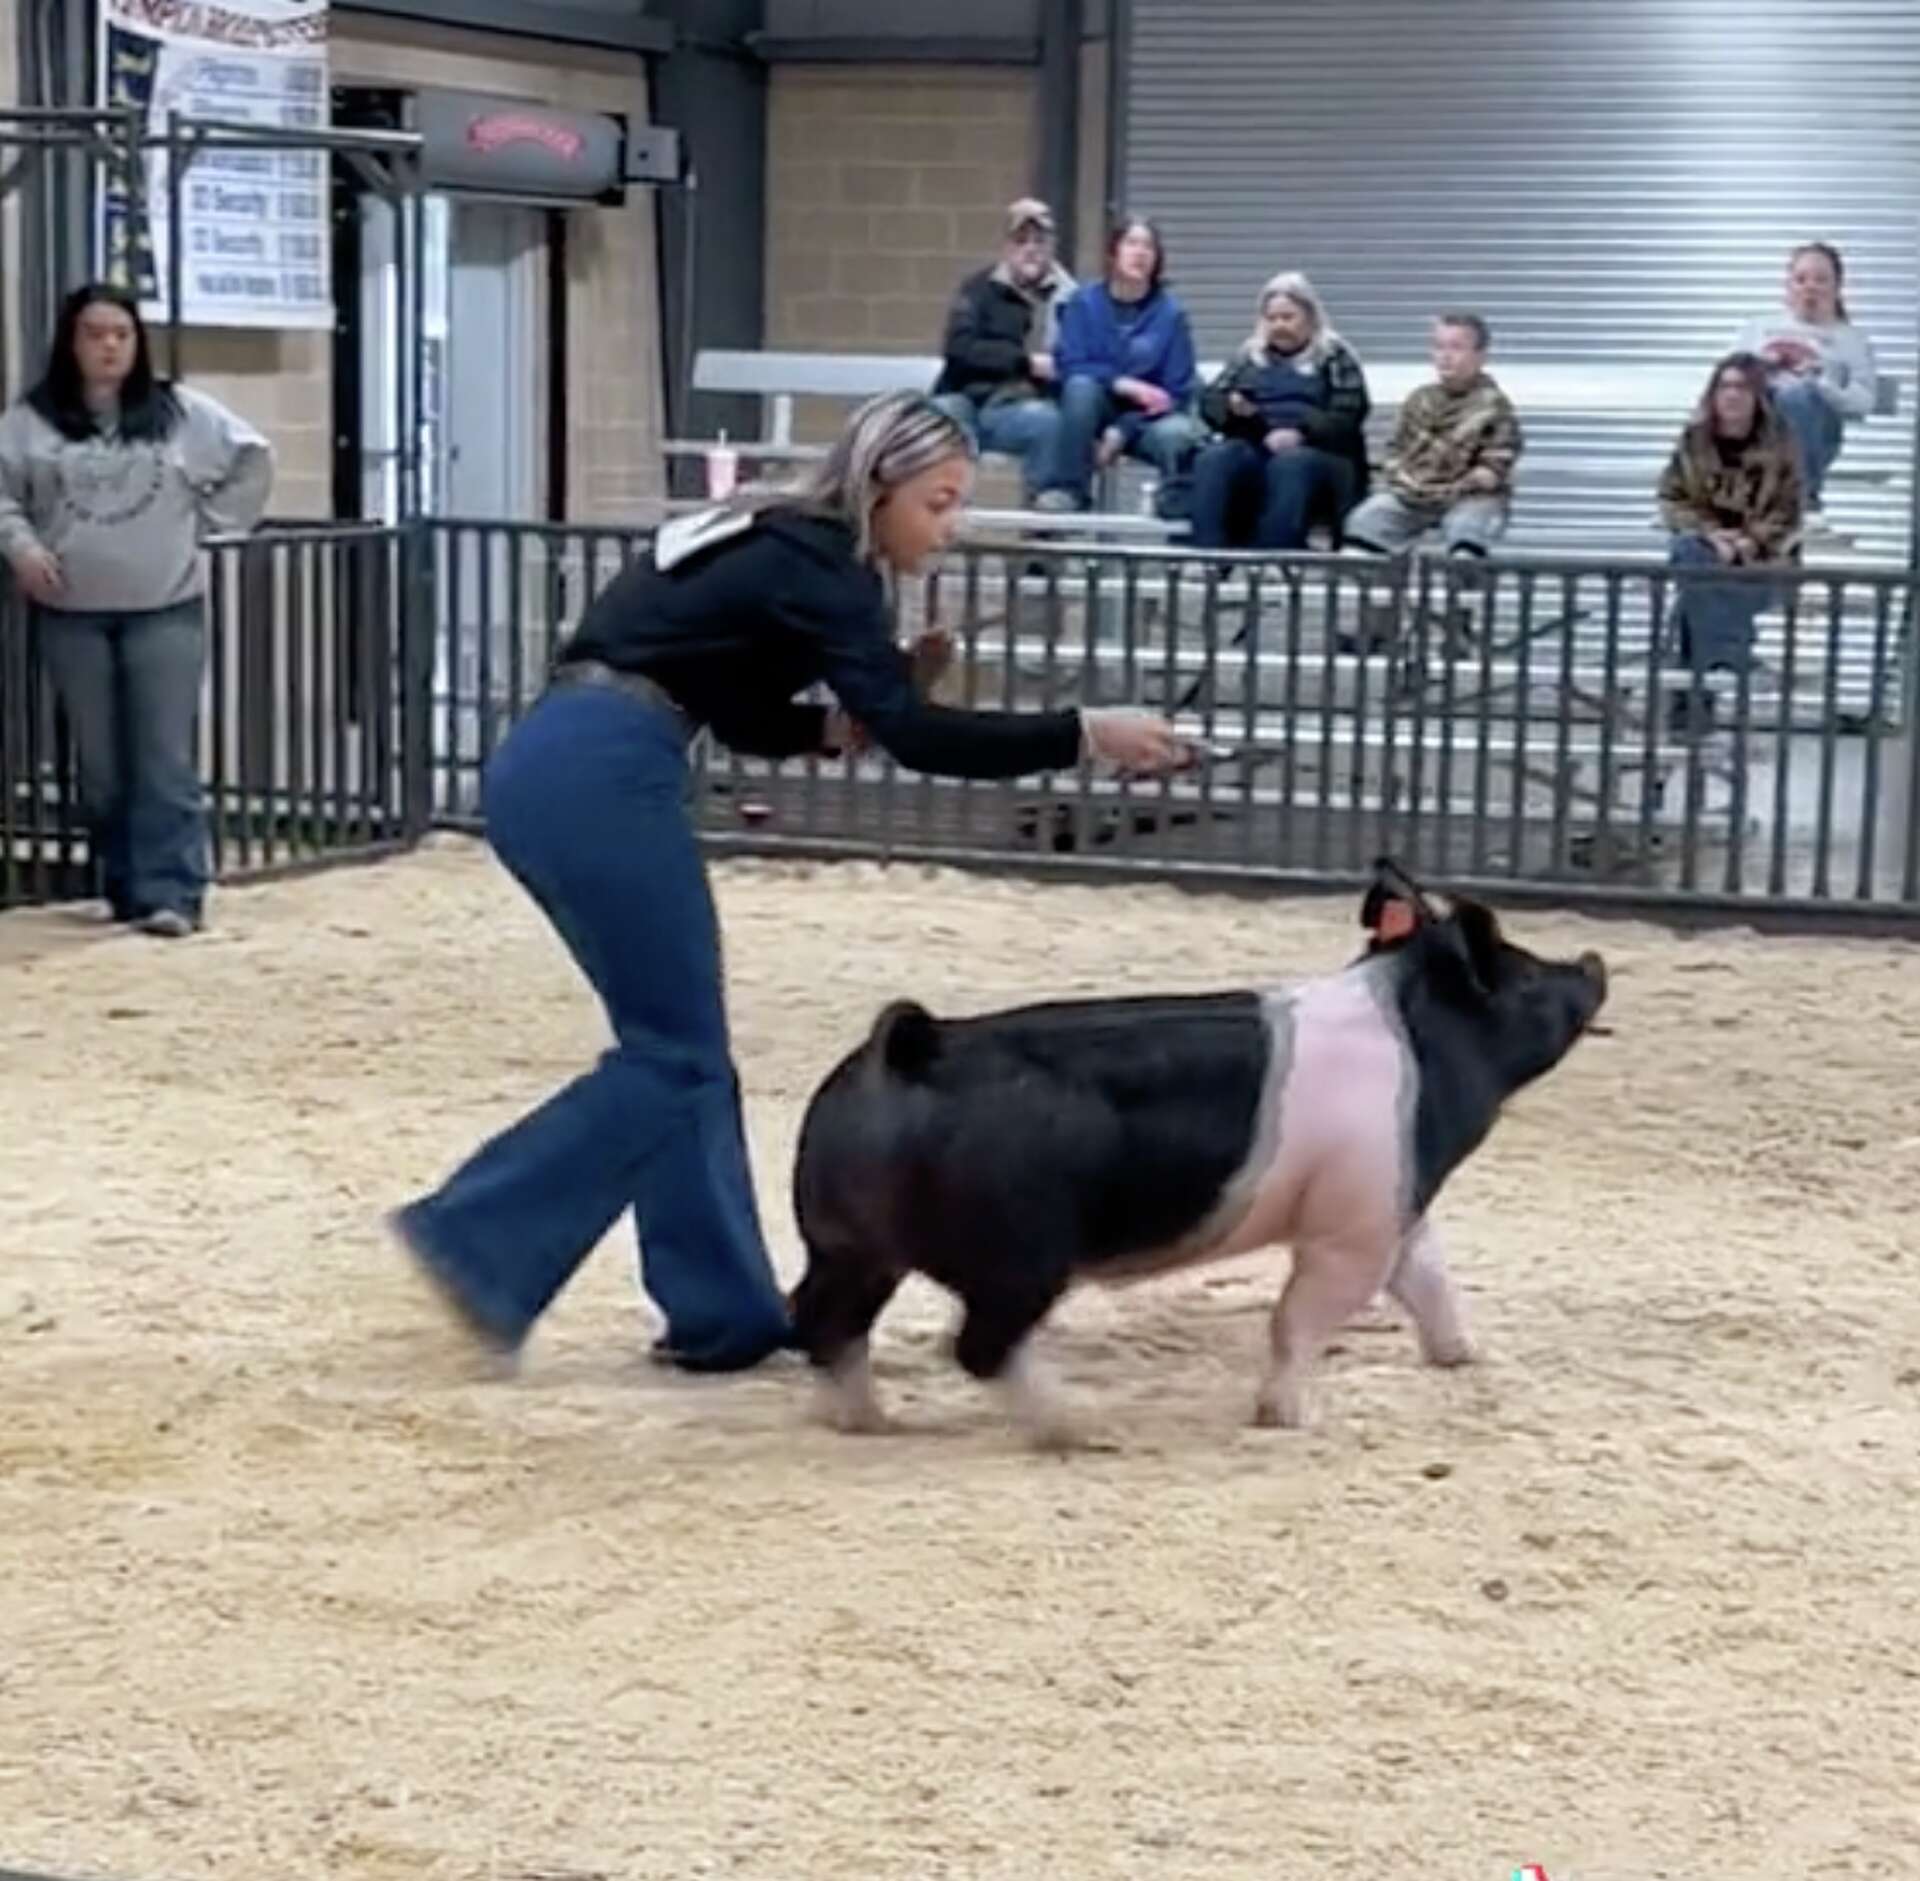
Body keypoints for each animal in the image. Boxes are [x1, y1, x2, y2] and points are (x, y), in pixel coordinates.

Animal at [788, 858, 1609, 1449]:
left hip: (849, 1243)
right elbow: (1301, 1318)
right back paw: (1083, 1430)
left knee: (822, 1319)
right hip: (1017, 1252)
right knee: (976, 1346)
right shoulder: (1352, 1223)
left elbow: (1430, 1277)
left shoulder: (1396, 1201)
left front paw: (1463, 1356)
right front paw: (1288, 1419)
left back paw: (869, 1422)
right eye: (1527, 972)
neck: (1421, 1042)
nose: (1594, 960)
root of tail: (909, 1048)